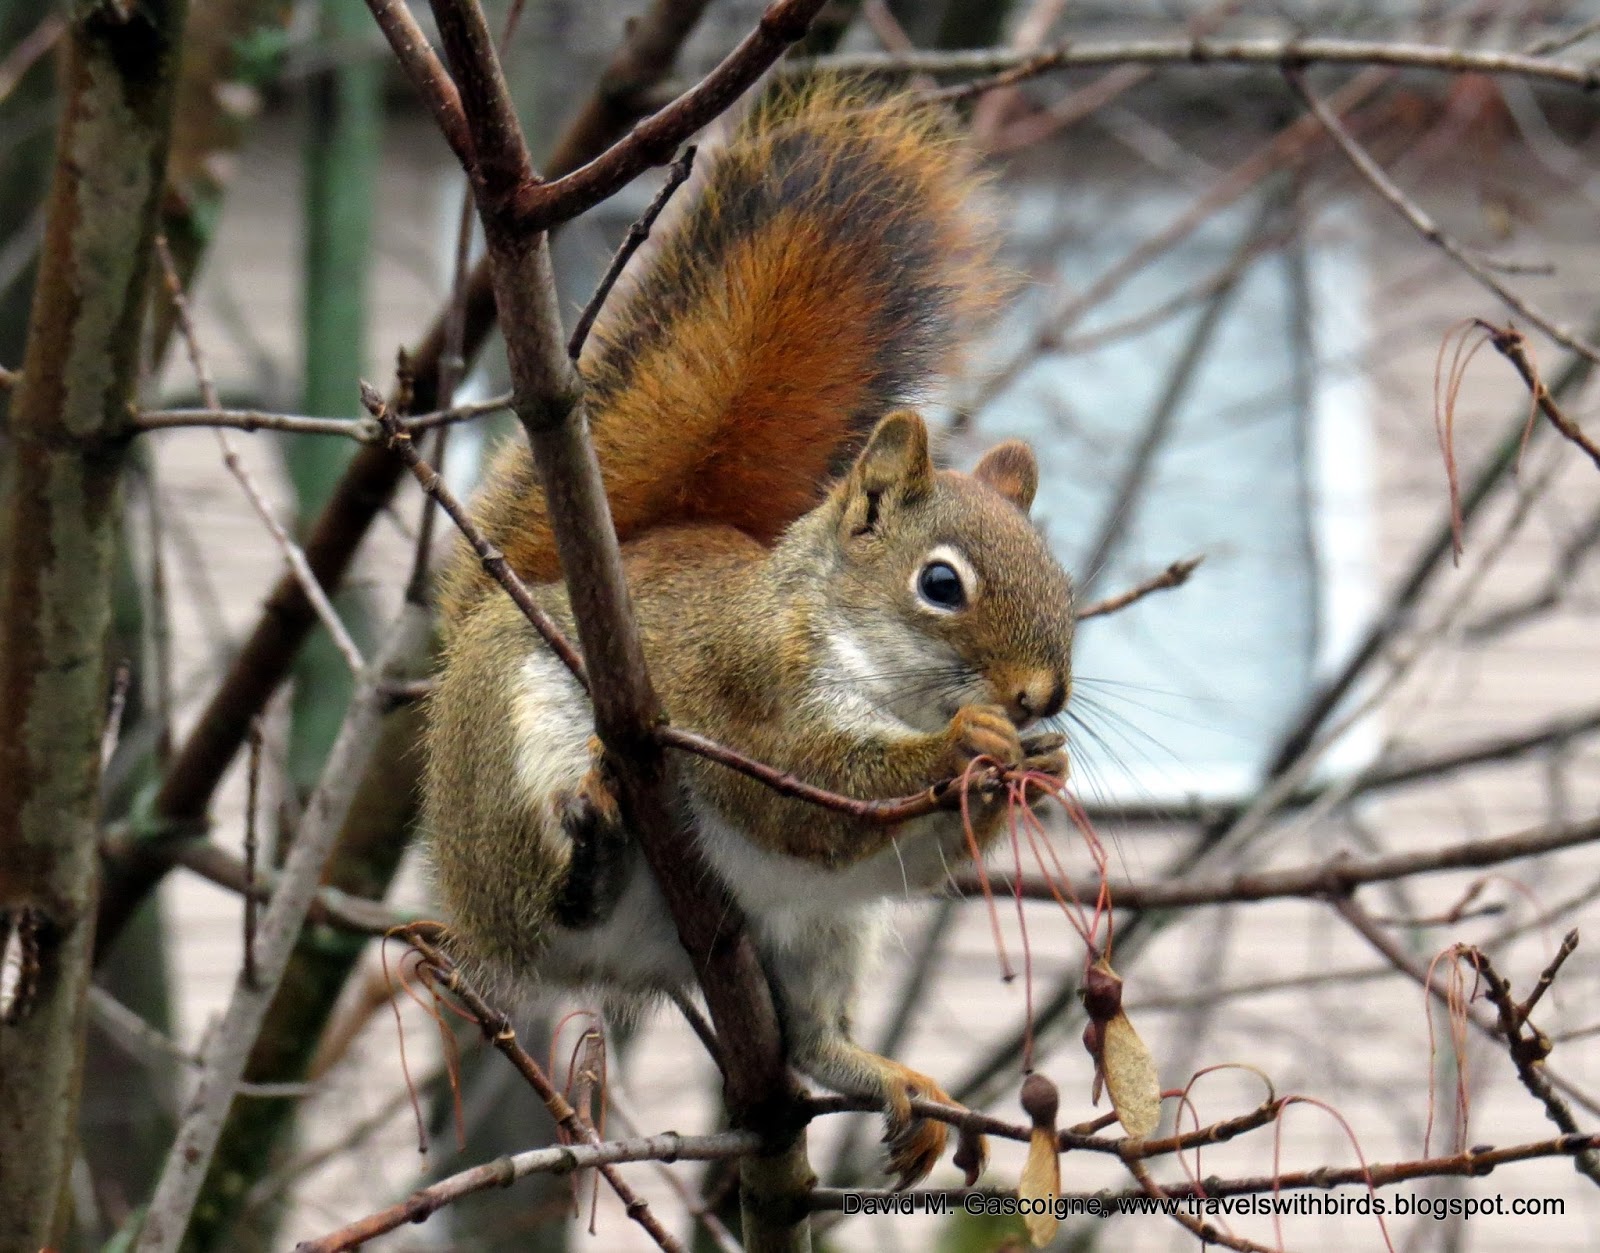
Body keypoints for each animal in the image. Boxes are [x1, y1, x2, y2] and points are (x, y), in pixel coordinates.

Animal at [422, 81, 1076, 1189]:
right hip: (514, 768)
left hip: (821, 931)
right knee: (541, 911)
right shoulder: (741, 697)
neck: (885, 682)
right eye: (941, 583)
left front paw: (1040, 766)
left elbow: (893, 855)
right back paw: (587, 871)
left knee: (808, 1036)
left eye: (1065, 580)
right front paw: (966, 746)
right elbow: (804, 790)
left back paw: (890, 1079)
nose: (1042, 697)